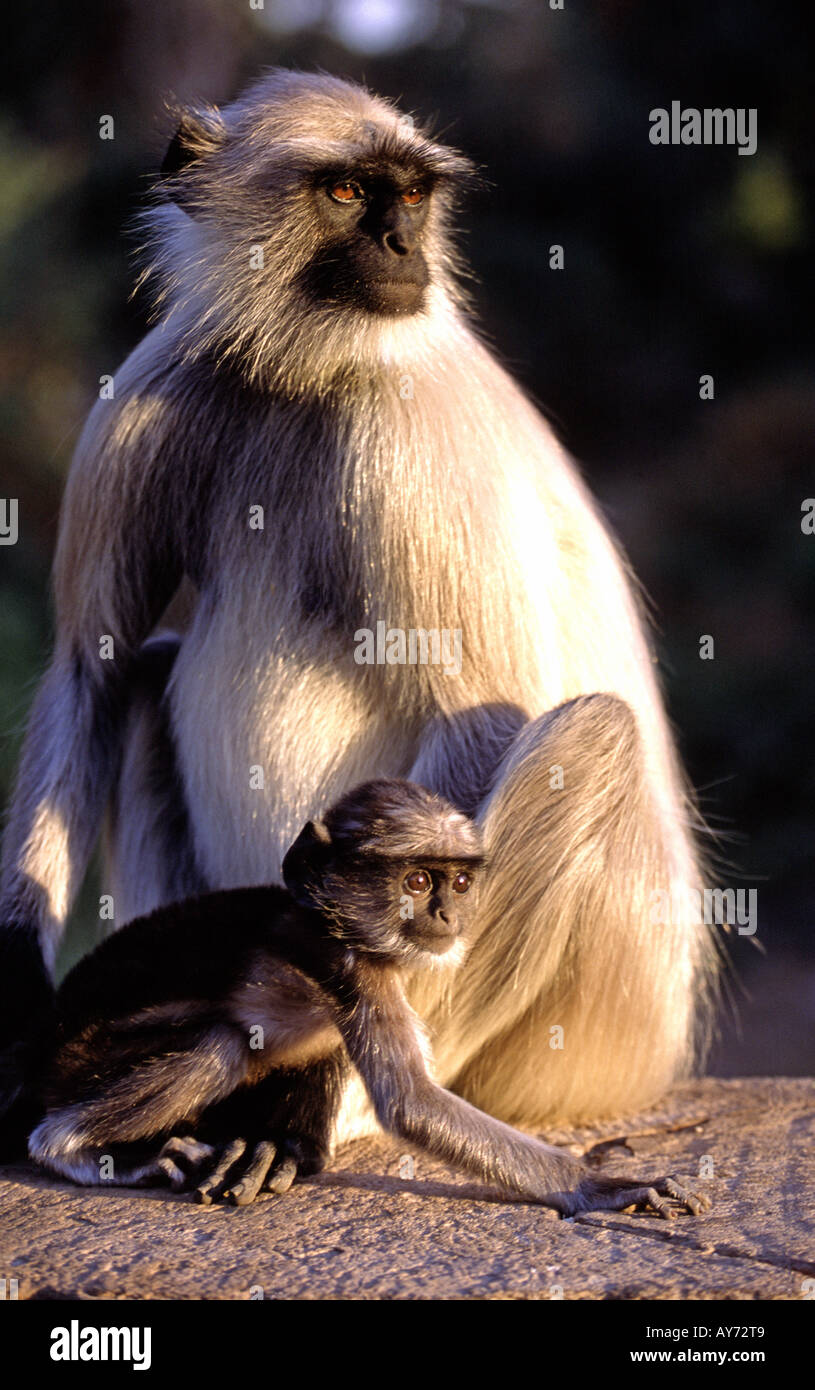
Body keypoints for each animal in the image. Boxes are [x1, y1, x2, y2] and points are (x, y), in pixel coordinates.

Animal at [0, 70, 717, 1158]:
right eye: (346, 193)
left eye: (412, 197)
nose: (399, 247)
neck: (309, 372)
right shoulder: (153, 390)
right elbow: (94, 663)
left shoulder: (410, 422)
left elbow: (482, 722)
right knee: (153, 667)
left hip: (600, 1026)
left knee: (589, 733)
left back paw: (338, 1107)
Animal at [28, 780, 708, 1217]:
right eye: (418, 881)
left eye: (461, 882)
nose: (446, 914)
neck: (331, 921)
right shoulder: (355, 967)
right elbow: (411, 1105)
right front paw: (601, 1186)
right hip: (85, 1061)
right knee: (219, 1043)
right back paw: (74, 1151)